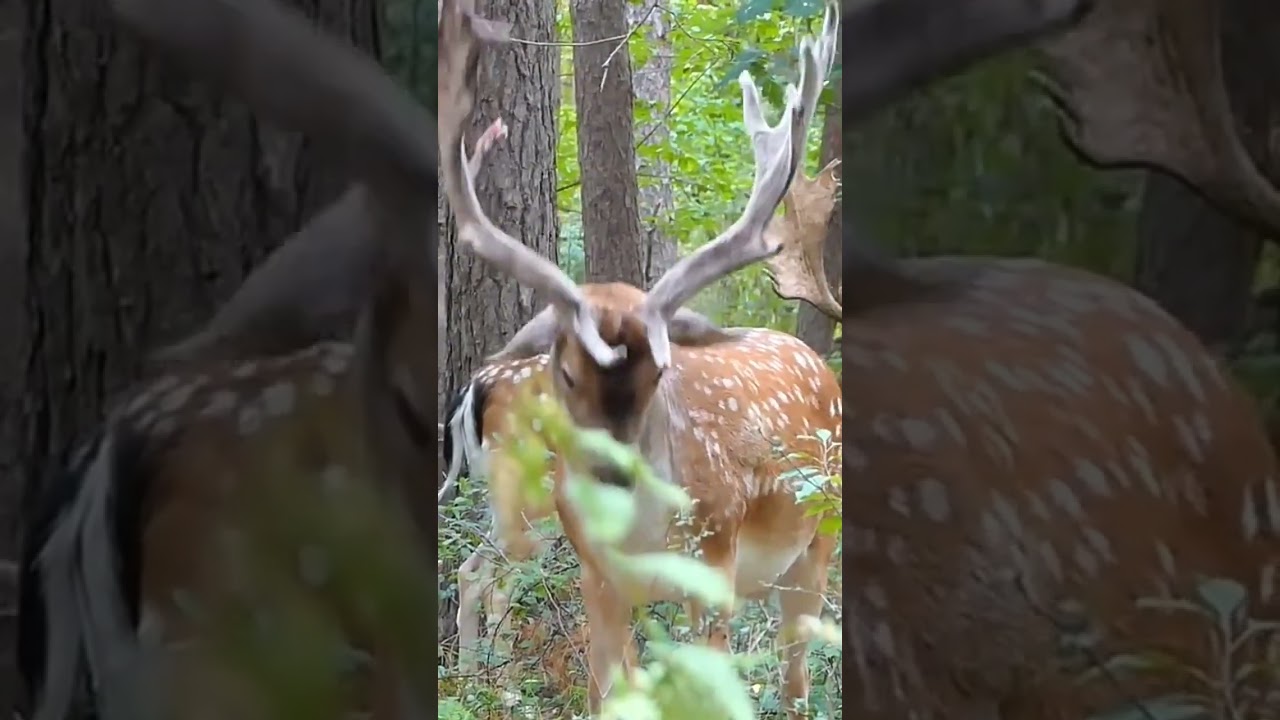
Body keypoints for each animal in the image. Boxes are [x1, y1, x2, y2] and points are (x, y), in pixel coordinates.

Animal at [437, 2, 844, 715]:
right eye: (565, 371)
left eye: (661, 371)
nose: (612, 475)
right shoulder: (598, 579)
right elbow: (608, 693)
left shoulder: (714, 559)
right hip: (523, 505)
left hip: (815, 538)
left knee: (795, 677)